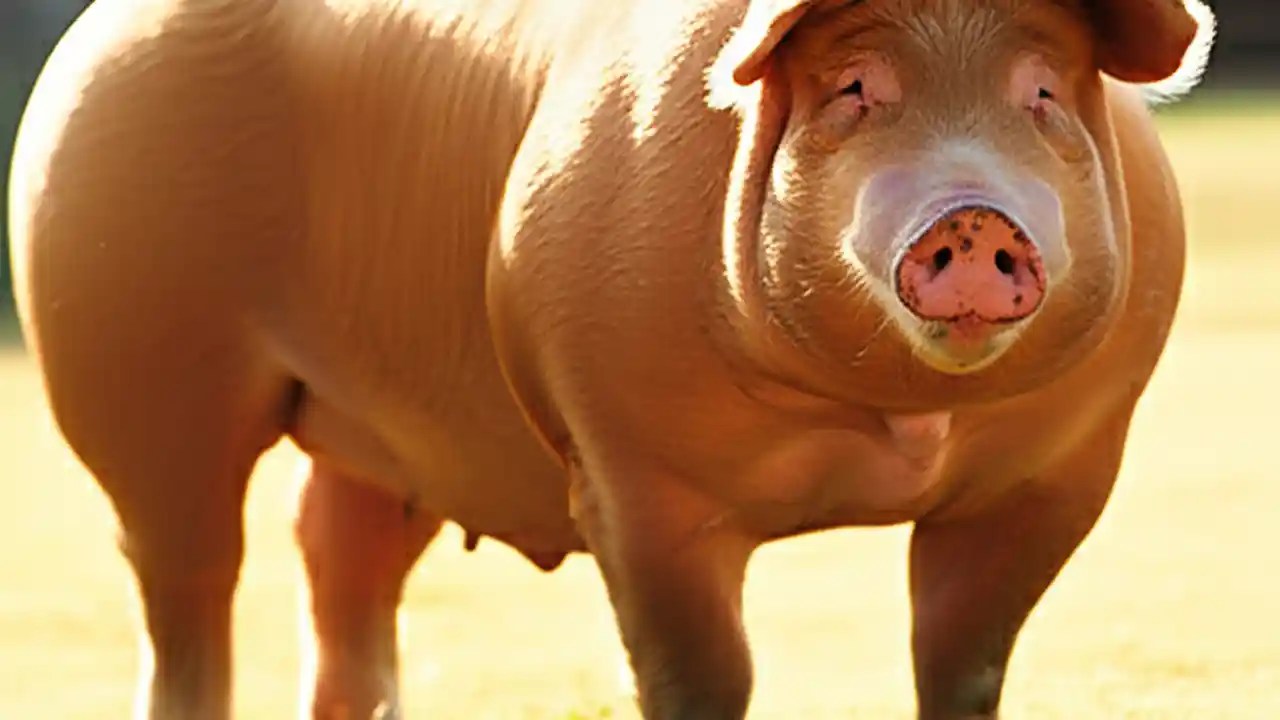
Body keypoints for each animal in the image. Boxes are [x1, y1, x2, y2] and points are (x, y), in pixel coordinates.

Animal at [8, 0, 1215, 718]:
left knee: (337, 553)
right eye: (854, 90)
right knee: (187, 572)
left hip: (385, 428)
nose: (971, 214)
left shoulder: (1056, 472)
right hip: (132, 350)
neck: (893, 422)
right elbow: (701, 671)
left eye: (1042, 94)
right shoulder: (634, 470)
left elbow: (963, 660)